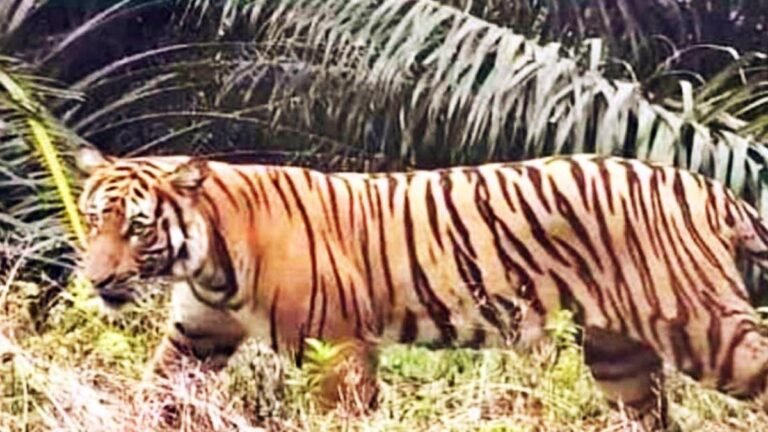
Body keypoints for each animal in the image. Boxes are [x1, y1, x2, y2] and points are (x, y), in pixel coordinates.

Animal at [76, 146, 768, 430]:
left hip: (703, 326)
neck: (206, 260)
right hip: (620, 356)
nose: (97, 279)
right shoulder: (196, 336)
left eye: (137, 227)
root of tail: (708, 186)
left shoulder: (337, 349)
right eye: (92, 218)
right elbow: (156, 395)